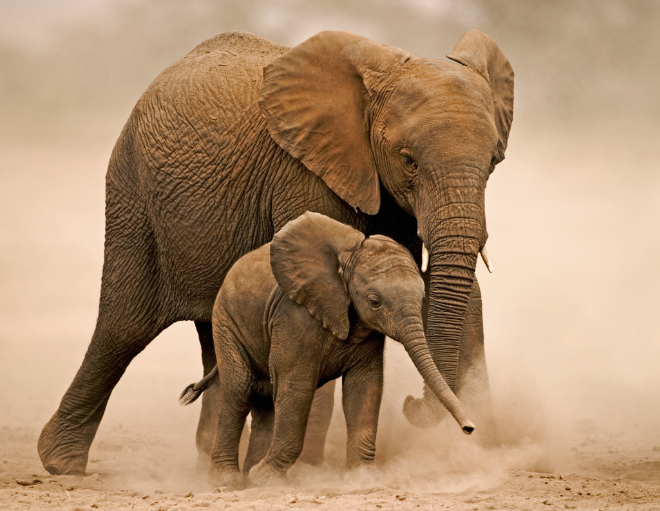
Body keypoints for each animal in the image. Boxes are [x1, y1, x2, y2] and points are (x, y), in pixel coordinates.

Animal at [180, 212, 475, 488]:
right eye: (374, 301)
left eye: (422, 298)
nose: (469, 428)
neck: (347, 259)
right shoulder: (295, 315)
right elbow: (297, 387)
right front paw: (268, 478)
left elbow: (364, 387)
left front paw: (364, 478)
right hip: (225, 321)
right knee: (240, 389)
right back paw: (228, 480)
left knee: (265, 398)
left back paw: (249, 475)